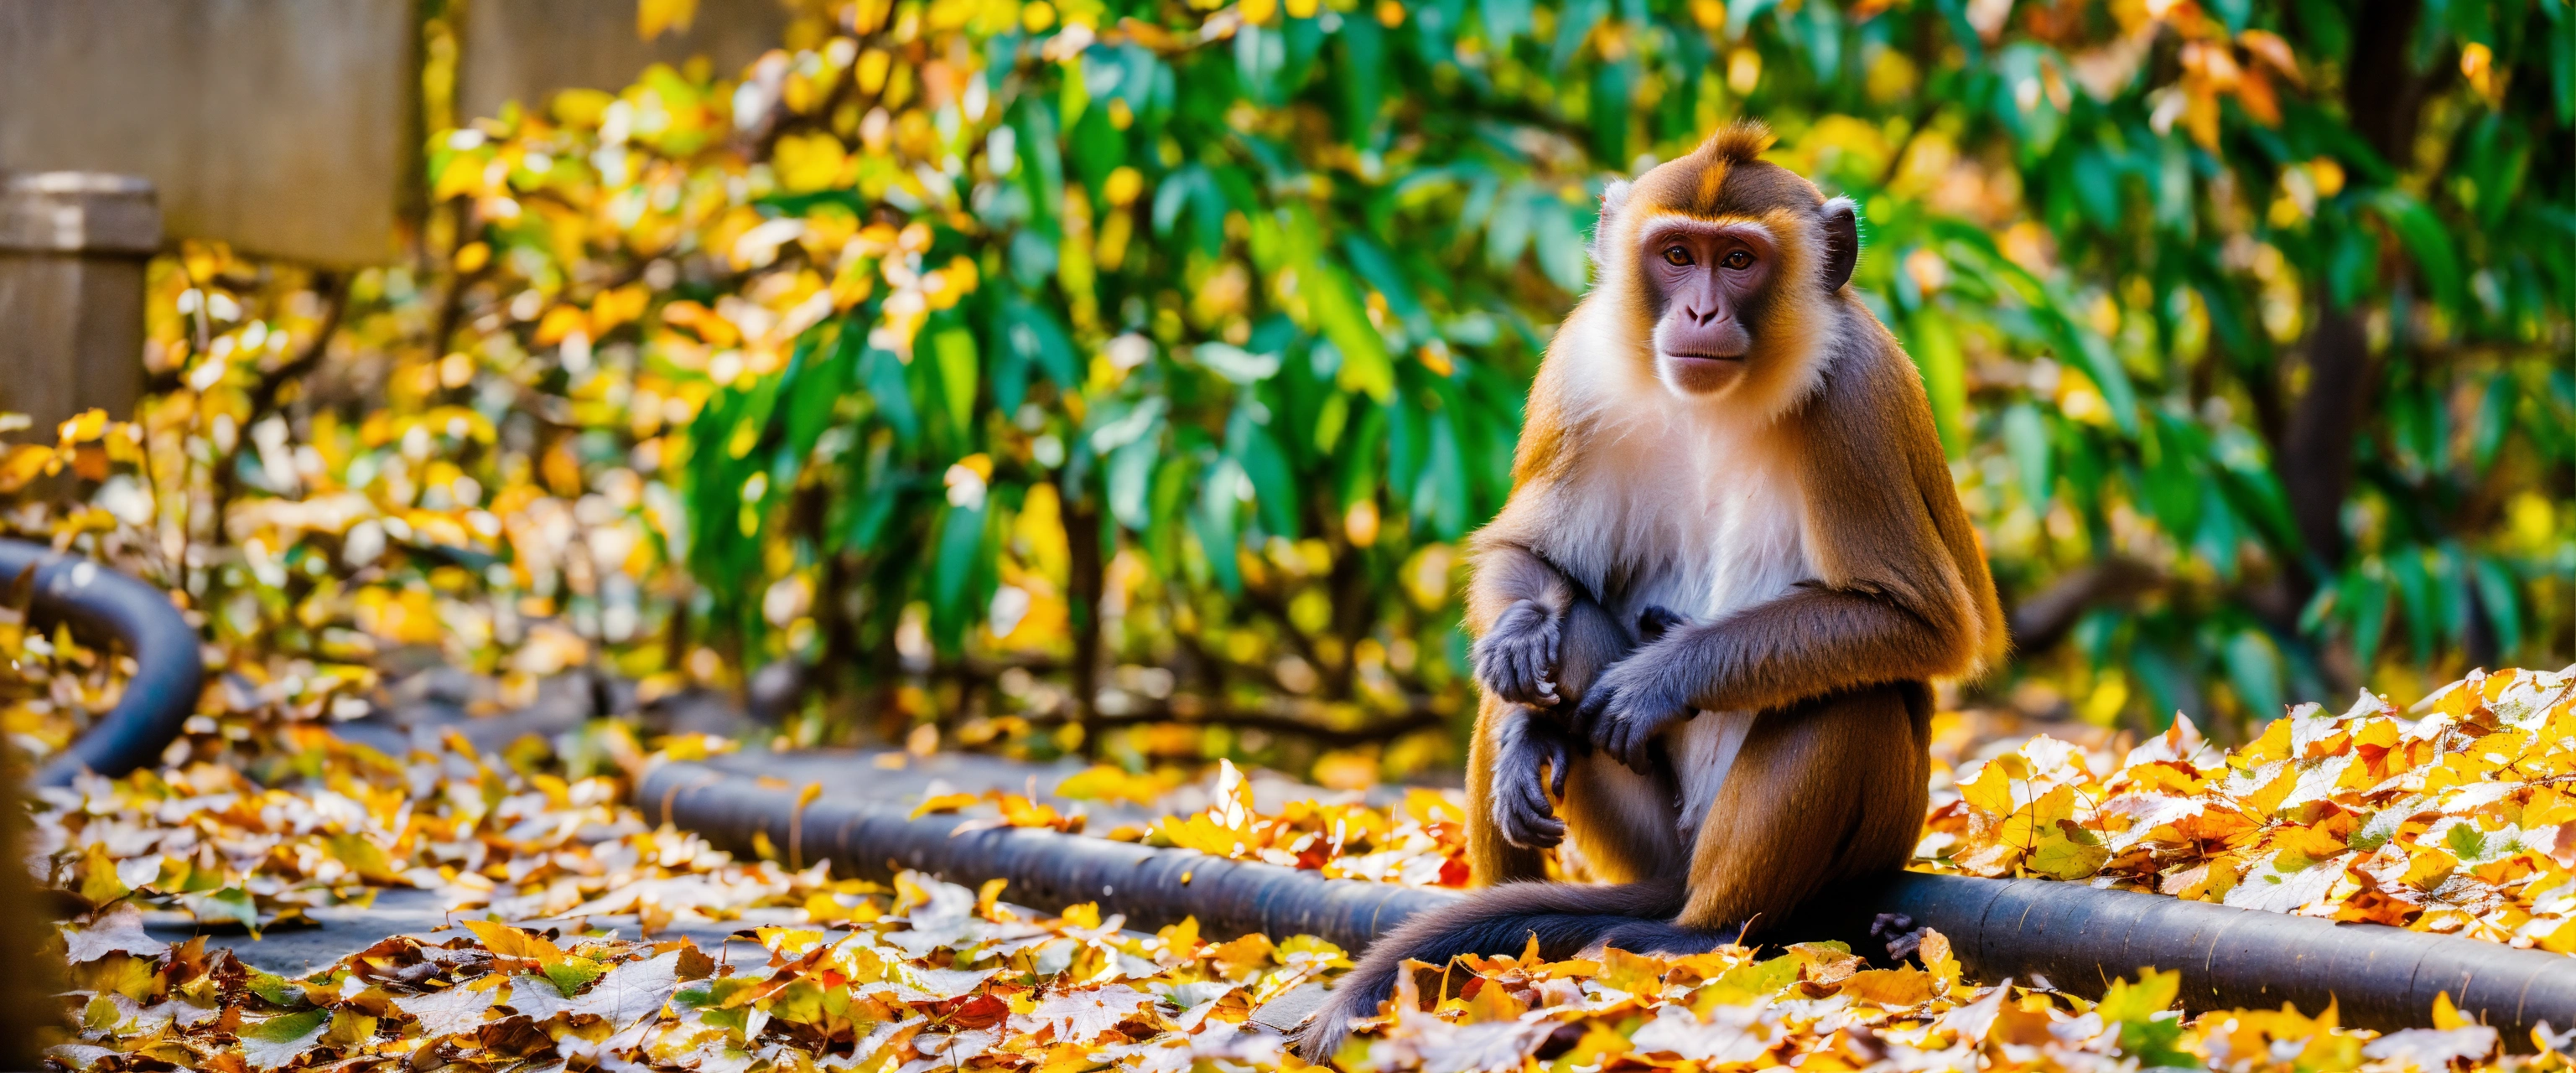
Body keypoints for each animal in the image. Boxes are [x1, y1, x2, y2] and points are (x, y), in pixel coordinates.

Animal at [1296, 122, 2004, 1061]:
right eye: (1676, 255)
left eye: (1737, 260)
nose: (1699, 312)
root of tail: (1681, 876)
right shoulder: (1578, 366)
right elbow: (1528, 560)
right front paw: (1525, 686)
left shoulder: (1856, 397)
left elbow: (1918, 621)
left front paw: (1658, 677)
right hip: (1649, 842)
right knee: (1542, 656)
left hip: (1863, 837)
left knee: (1849, 694)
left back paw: (1700, 935)